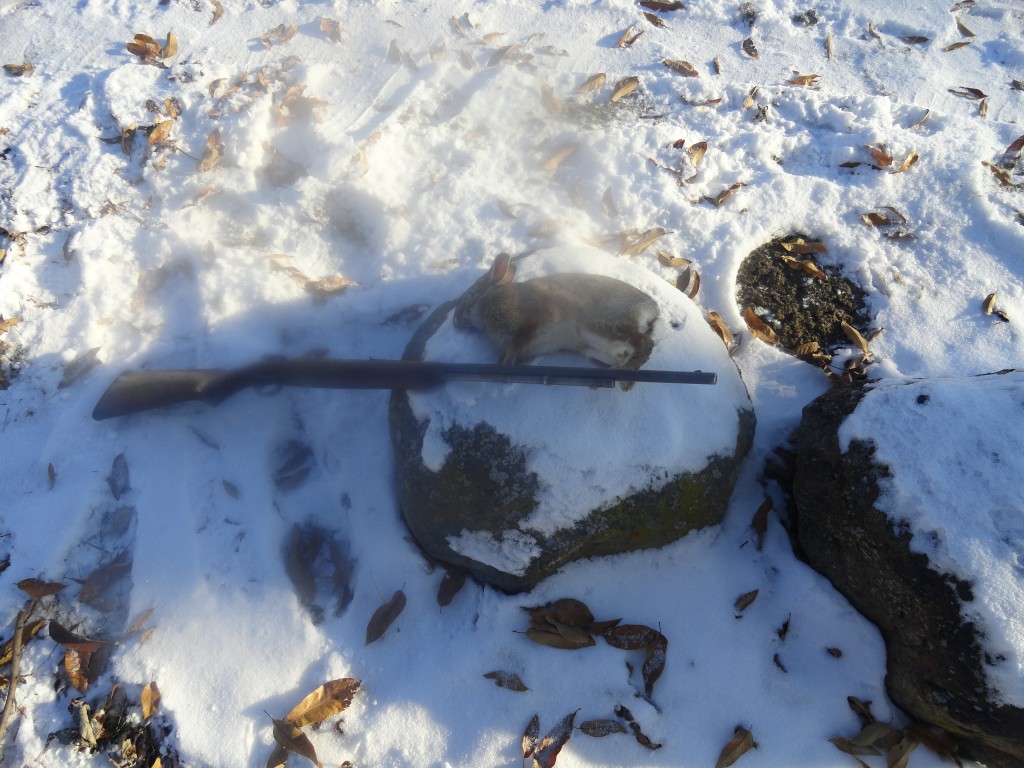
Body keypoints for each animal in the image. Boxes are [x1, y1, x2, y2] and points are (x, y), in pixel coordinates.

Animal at [453, 253, 660, 387]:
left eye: (469, 295)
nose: (454, 321)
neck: (486, 303)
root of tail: (653, 311)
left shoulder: (531, 324)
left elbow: (516, 344)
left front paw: (506, 364)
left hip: (605, 325)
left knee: (645, 343)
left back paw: (621, 373)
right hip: (596, 348)